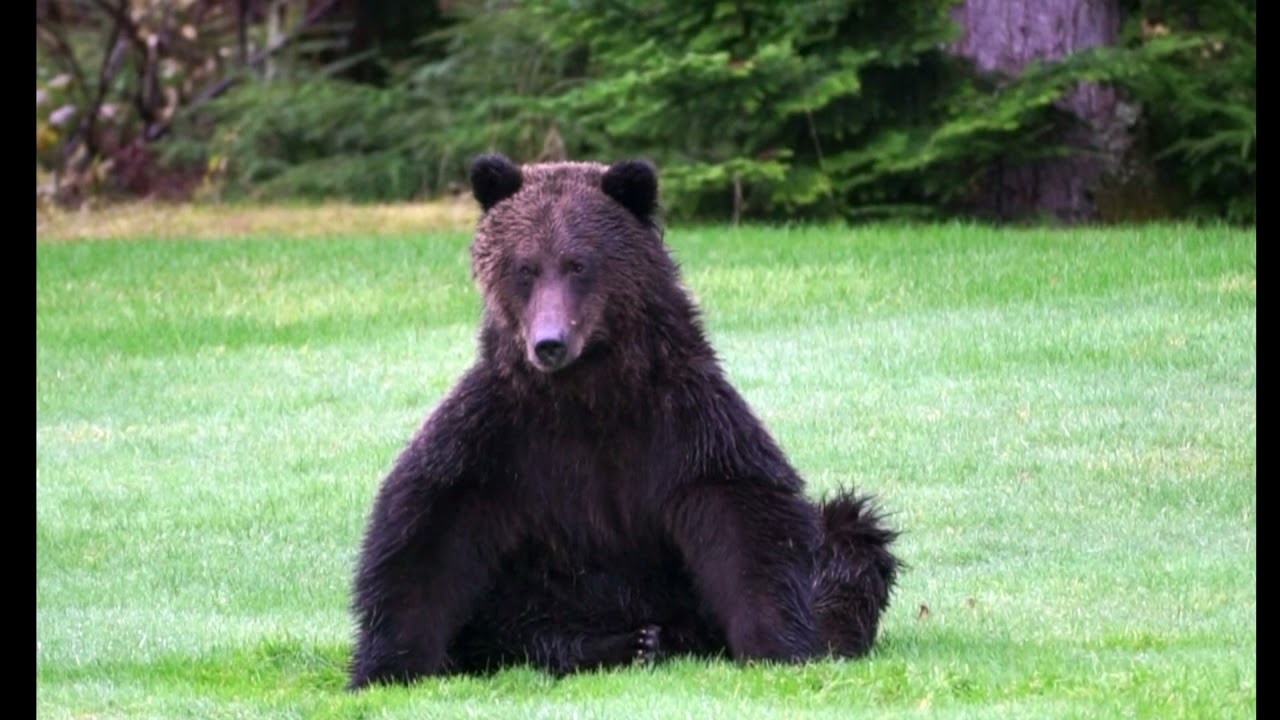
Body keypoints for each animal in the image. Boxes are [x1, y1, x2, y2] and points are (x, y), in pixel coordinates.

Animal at [347, 154, 900, 689]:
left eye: (578, 264)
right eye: (525, 267)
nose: (548, 344)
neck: (588, 391)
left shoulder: (680, 419)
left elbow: (745, 511)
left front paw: (778, 646)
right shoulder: (501, 429)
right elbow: (429, 523)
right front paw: (387, 665)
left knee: (851, 535)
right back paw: (625, 643)